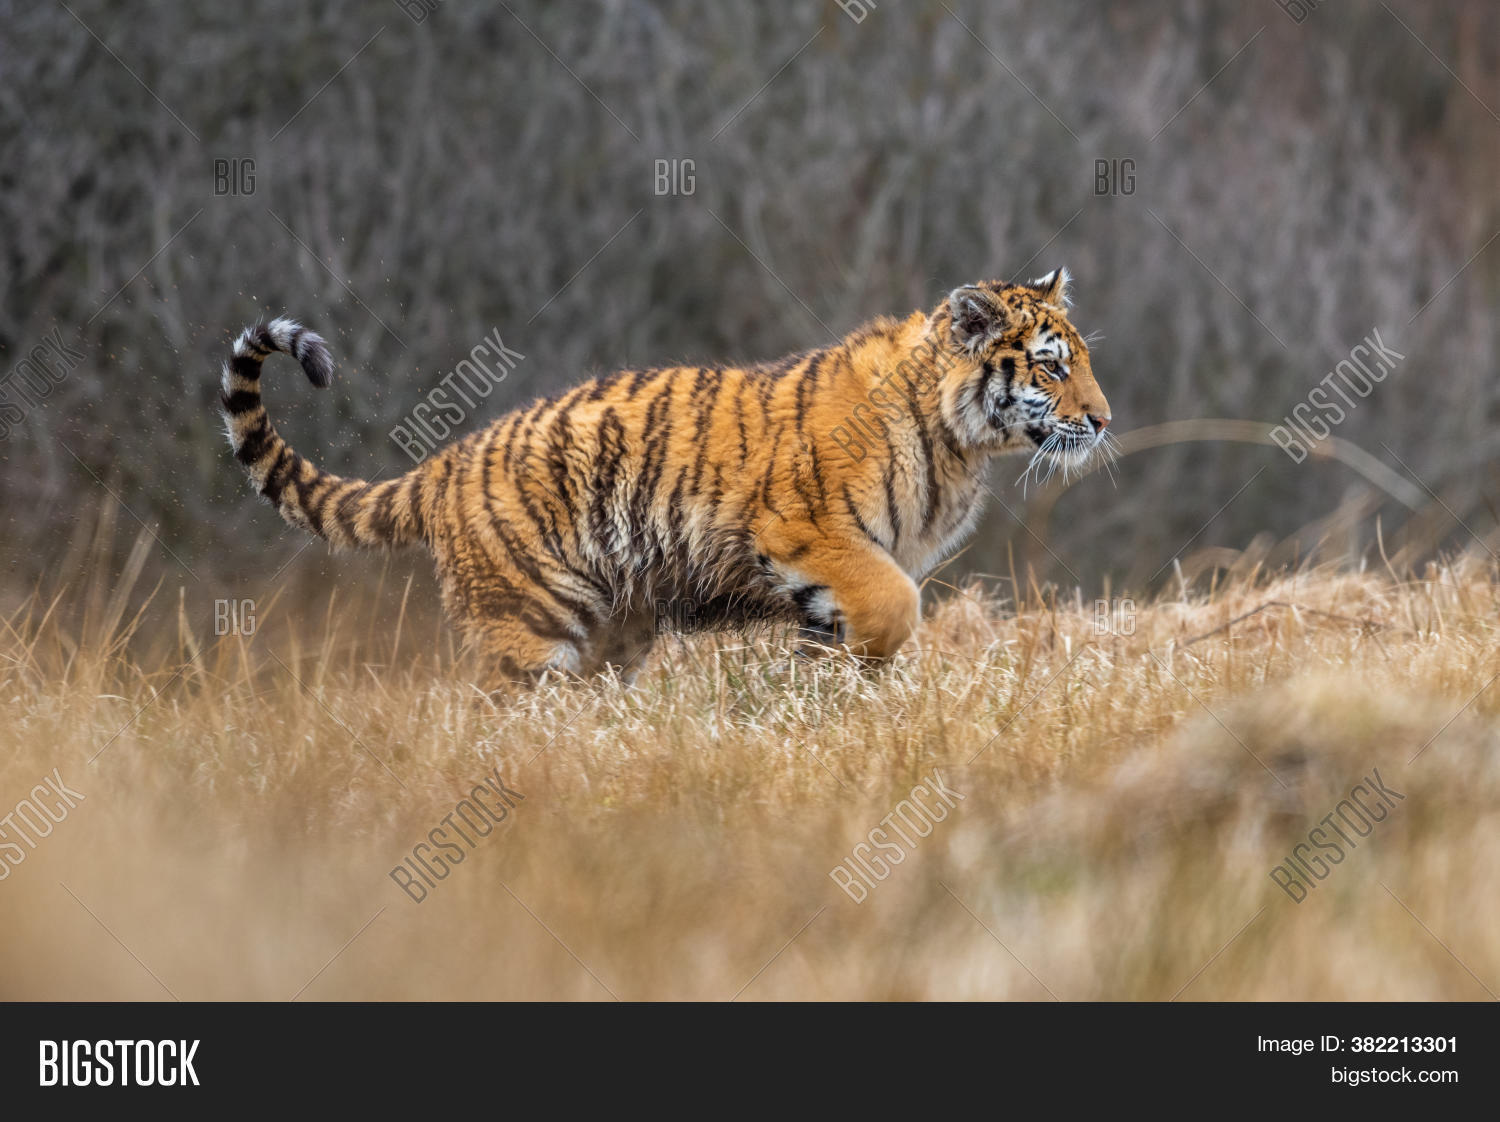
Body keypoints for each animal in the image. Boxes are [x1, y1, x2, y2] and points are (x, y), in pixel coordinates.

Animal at [220, 268, 1111, 688]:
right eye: (1052, 367)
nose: (1104, 420)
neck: (961, 443)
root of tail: (447, 461)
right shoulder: (811, 532)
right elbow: (896, 605)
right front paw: (858, 675)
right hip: (527, 624)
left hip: (614, 625)